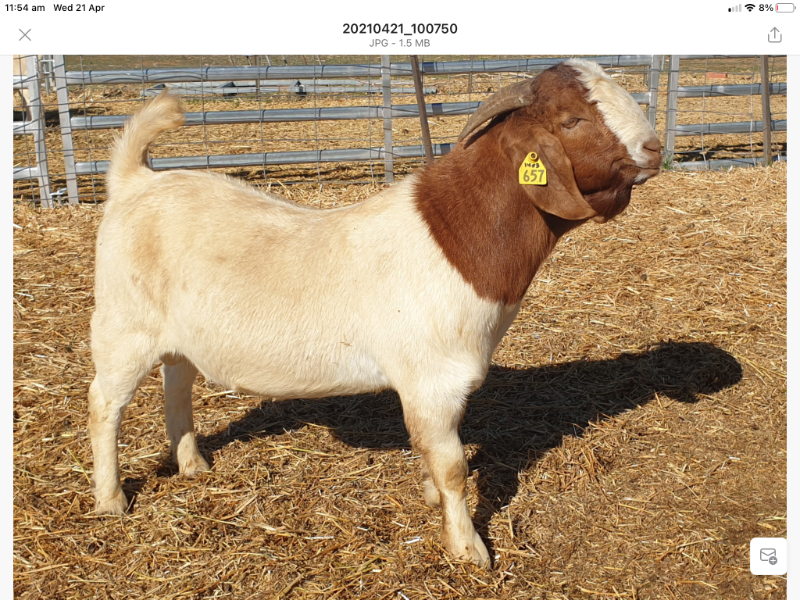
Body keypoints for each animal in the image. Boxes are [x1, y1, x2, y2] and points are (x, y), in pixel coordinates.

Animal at [88, 59, 661, 568]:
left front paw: (430, 498)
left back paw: (192, 464)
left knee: (176, 384)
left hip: (175, 334)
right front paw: (470, 549)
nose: (654, 148)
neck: (456, 238)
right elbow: (453, 467)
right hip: (121, 326)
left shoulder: (432, 388)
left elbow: (428, 450)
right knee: (104, 405)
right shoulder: (433, 380)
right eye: (572, 120)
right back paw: (111, 500)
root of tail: (135, 181)